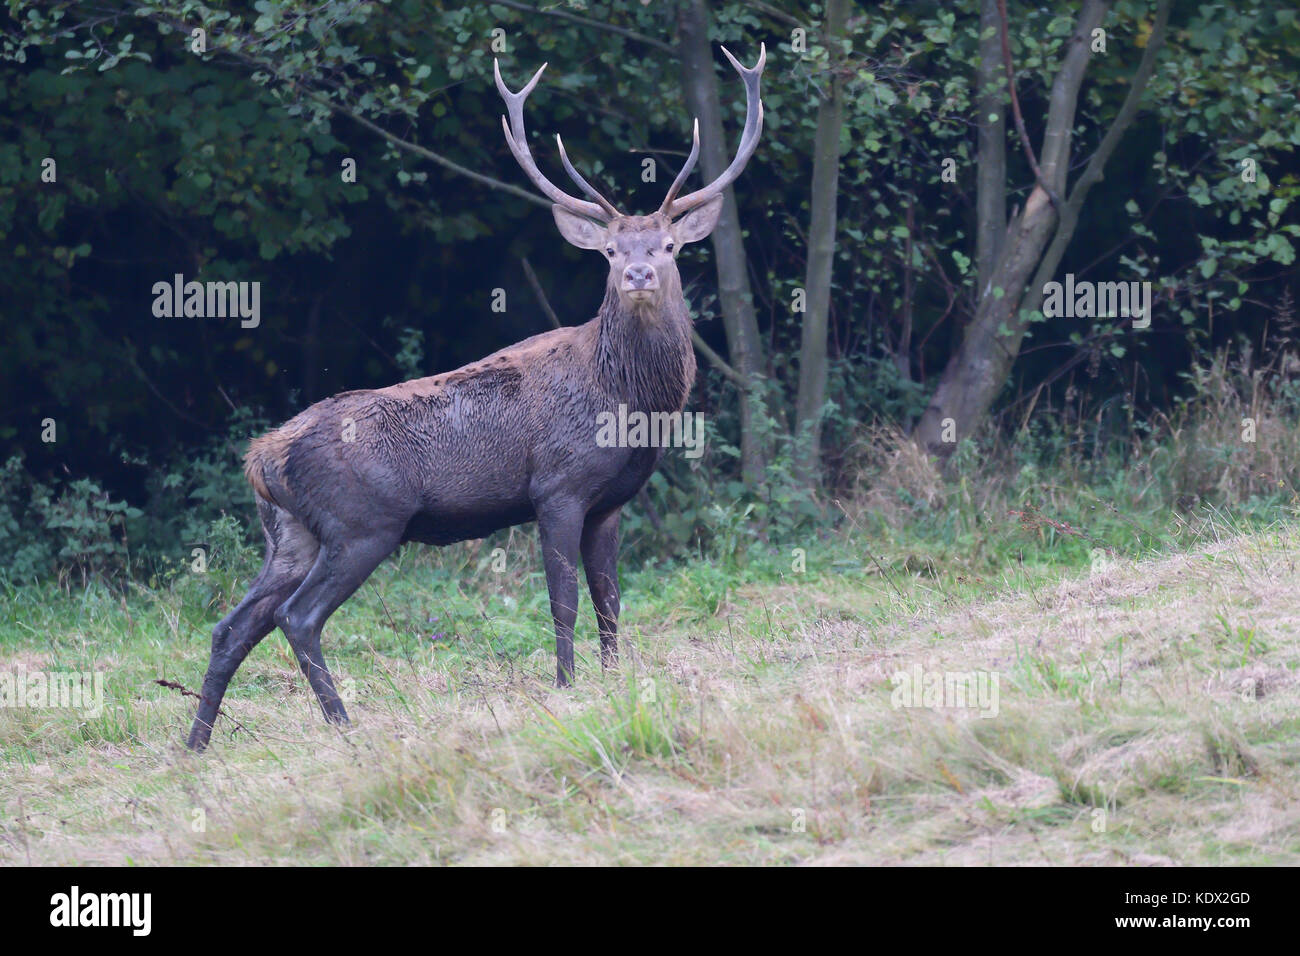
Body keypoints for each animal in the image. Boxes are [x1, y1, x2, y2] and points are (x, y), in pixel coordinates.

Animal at [185, 45, 765, 751]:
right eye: (608, 249)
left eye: (670, 245)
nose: (637, 273)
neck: (629, 406)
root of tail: (262, 457)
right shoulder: (557, 486)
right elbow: (564, 598)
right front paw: (566, 686)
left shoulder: (611, 502)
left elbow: (611, 600)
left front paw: (614, 679)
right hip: (362, 523)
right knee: (298, 617)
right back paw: (343, 723)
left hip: (289, 533)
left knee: (233, 624)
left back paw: (195, 744)